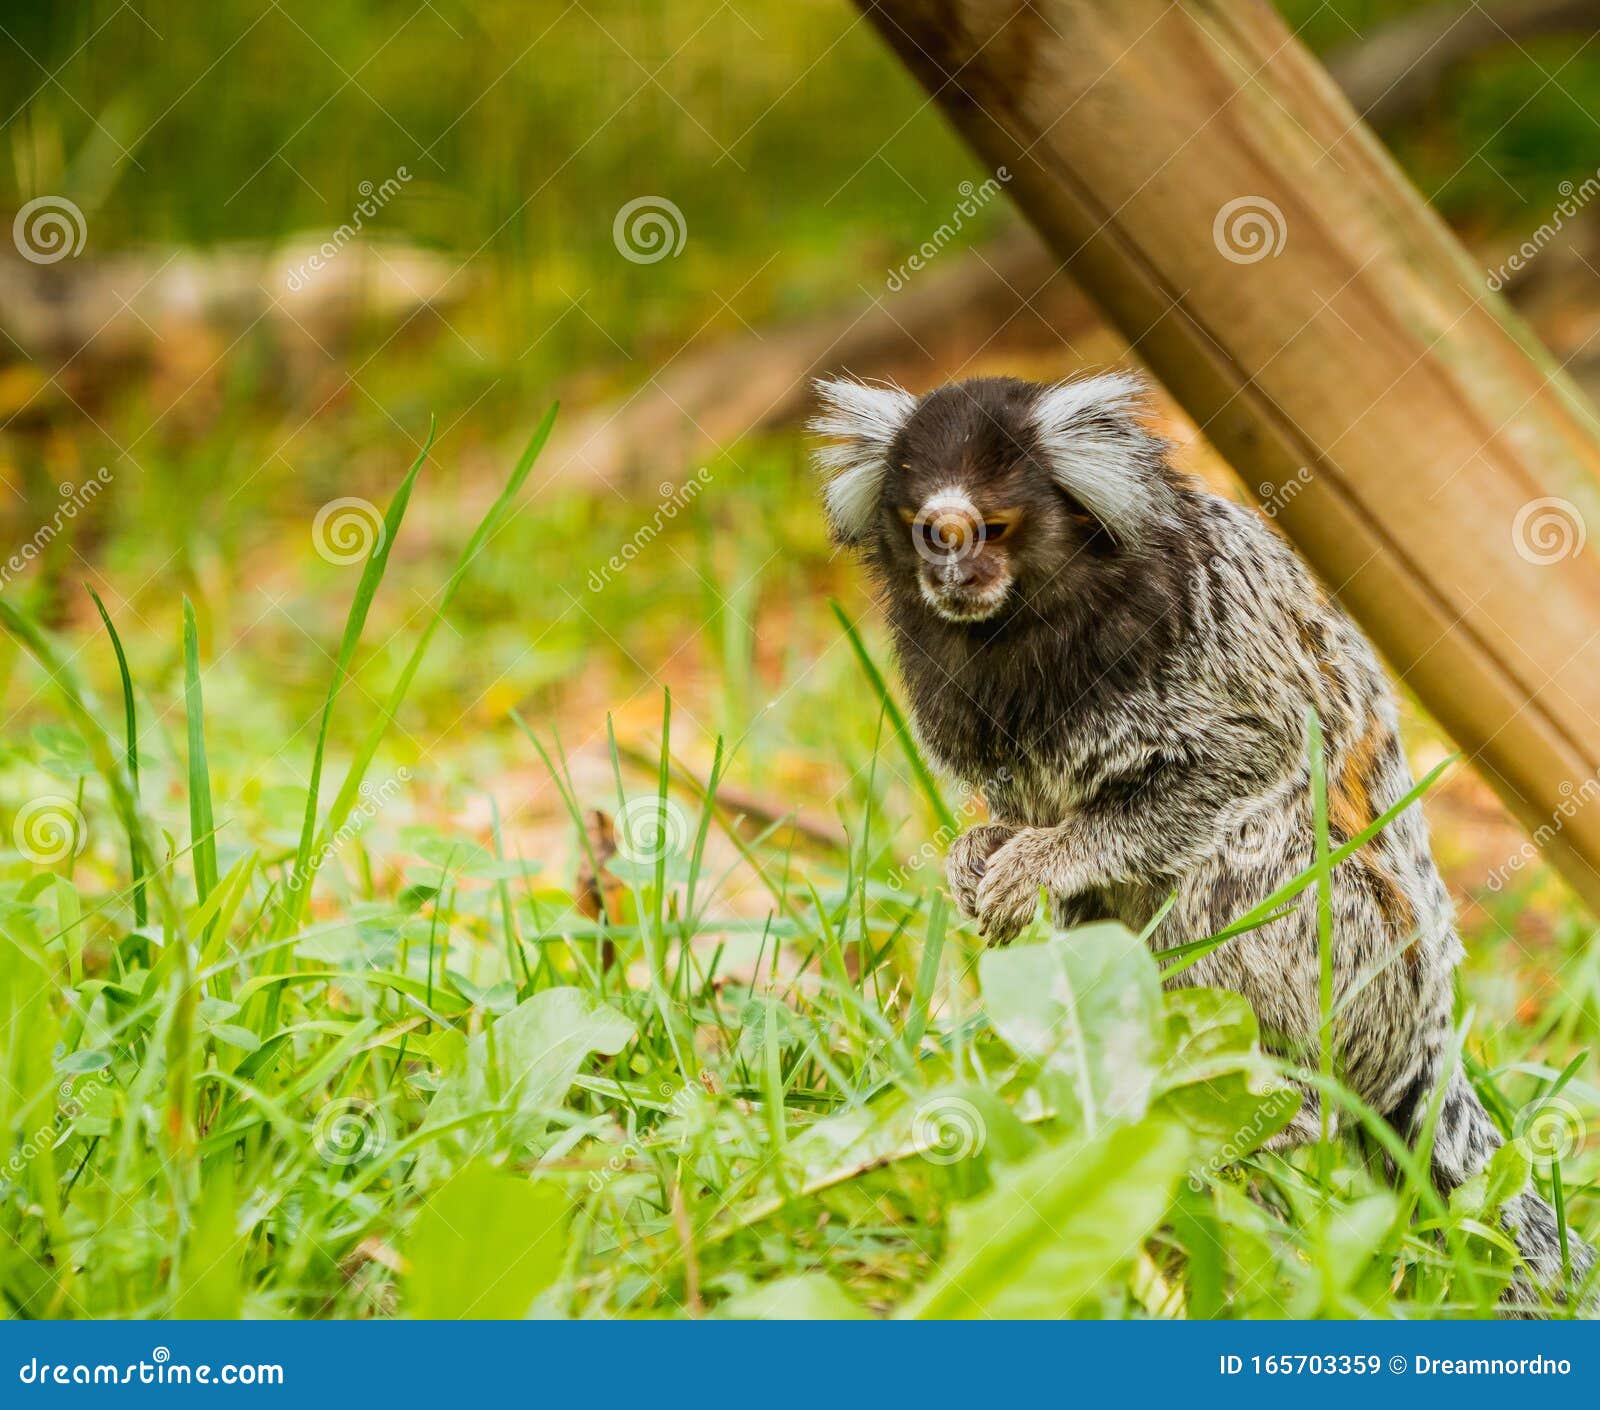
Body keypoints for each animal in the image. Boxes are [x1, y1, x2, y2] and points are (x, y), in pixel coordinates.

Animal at [811, 369, 1593, 1315]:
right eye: (929, 529)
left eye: (990, 528)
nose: (953, 570)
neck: (1028, 625)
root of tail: (1423, 1042)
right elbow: (1018, 815)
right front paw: (981, 853)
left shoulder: (1212, 648)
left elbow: (1242, 764)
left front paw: (1043, 859)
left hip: (1361, 965)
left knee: (1248, 864)